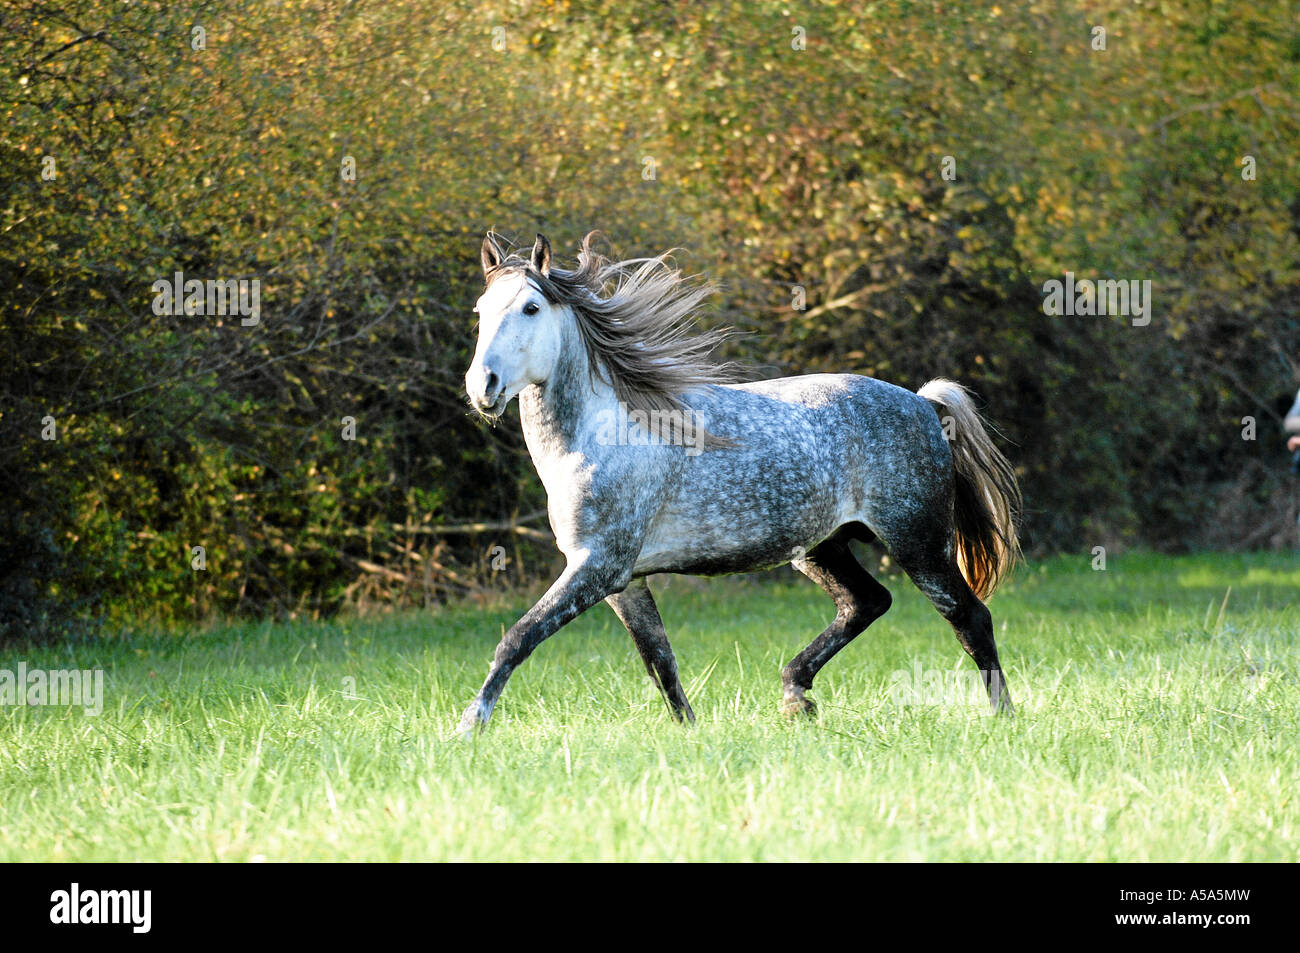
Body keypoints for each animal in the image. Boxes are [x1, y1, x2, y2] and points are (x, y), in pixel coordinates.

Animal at [459, 231, 1022, 735]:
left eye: (531, 307)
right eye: (481, 311)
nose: (483, 386)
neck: (599, 435)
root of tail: (924, 405)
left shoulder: (598, 567)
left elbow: (518, 637)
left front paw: (470, 725)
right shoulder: (624, 580)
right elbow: (659, 660)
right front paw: (689, 732)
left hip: (918, 541)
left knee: (969, 617)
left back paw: (1002, 718)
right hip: (820, 548)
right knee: (866, 603)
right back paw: (795, 695)